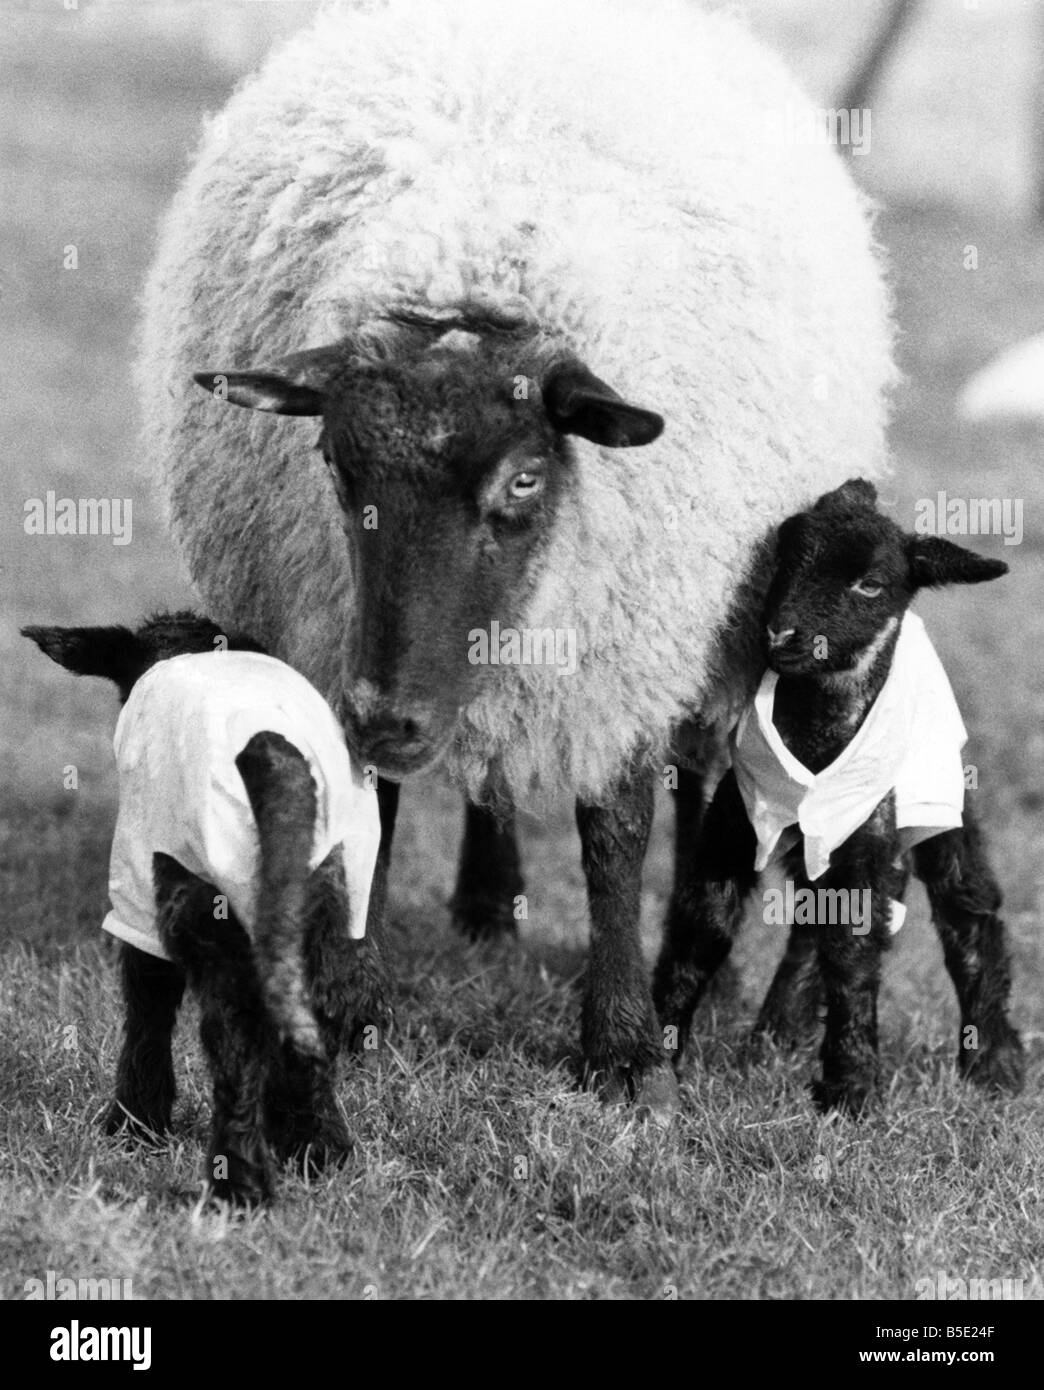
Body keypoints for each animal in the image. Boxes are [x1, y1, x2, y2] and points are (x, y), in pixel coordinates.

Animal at [22, 613, 382, 1204]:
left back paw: (239, 1184)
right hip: (332, 895)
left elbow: (147, 1010)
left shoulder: (143, 893)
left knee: (232, 1035)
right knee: (319, 1011)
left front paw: (135, 1128)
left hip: (207, 896)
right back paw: (319, 1150)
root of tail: (271, 750)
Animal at [137, 0, 897, 1115]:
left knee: (700, 769)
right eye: (334, 464)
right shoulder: (357, 646)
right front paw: (350, 1002)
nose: (390, 714)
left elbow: (615, 829)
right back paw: (489, 904)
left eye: (527, 482)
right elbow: (374, 798)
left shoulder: (623, 640)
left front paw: (623, 1045)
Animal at [653, 480, 1025, 1114]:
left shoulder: (866, 842)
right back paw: (777, 1035)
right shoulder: (733, 827)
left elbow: (853, 951)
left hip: (940, 800)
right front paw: (654, 1052)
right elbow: (702, 926)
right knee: (811, 924)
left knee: (968, 908)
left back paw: (995, 1063)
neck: (816, 736)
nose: (781, 634)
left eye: (869, 584)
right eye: (784, 559)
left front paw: (850, 1087)